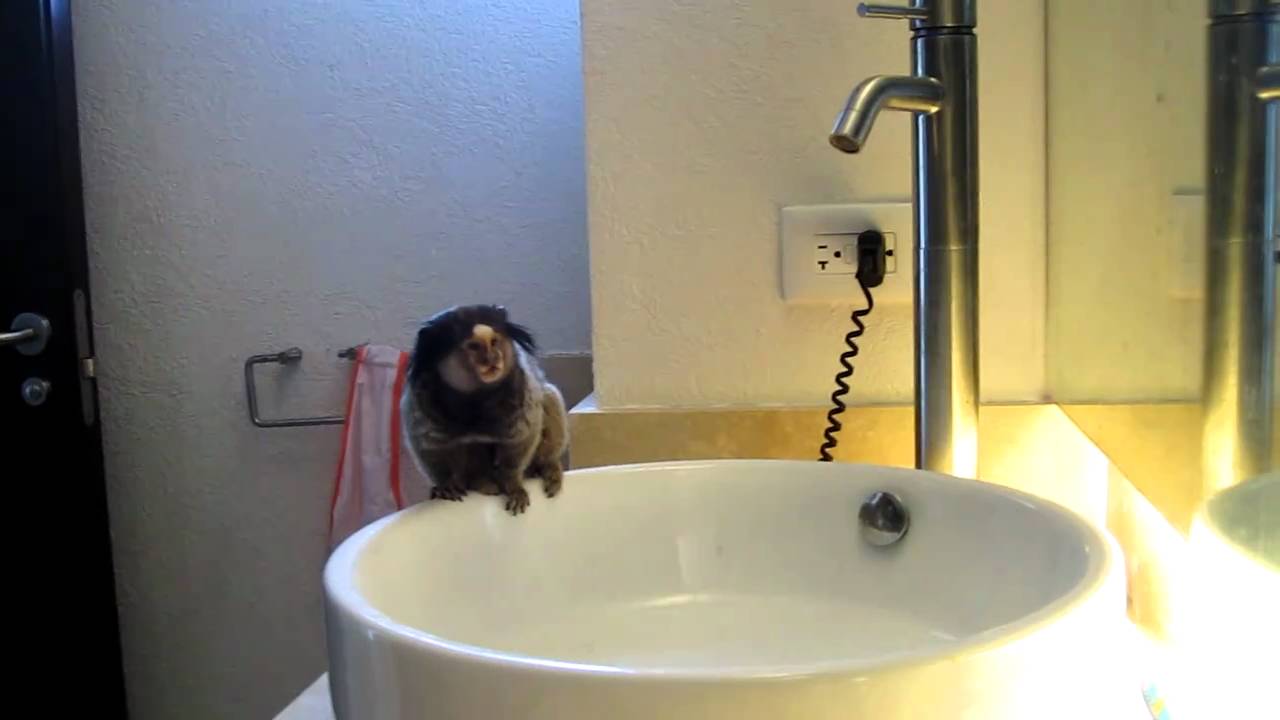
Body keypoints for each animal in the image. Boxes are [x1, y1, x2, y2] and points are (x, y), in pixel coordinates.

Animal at [400, 304, 568, 515]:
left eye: (494, 342)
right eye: (474, 346)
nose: (492, 358)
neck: (477, 396)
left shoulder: (521, 390)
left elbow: (522, 436)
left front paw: (513, 484)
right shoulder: (421, 398)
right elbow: (428, 445)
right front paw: (446, 484)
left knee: (549, 395)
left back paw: (548, 467)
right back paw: (480, 483)